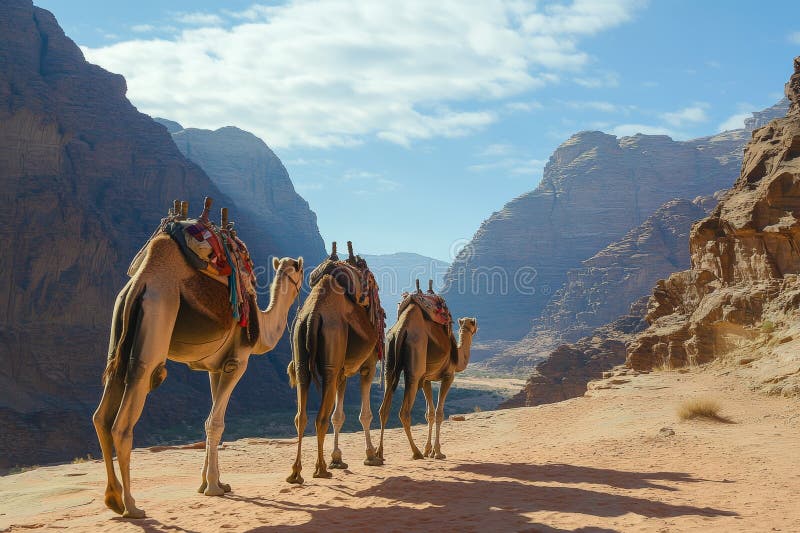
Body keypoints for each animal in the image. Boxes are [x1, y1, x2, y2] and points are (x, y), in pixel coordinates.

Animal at [93, 228, 303, 519]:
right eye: (298, 270)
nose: (305, 284)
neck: (262, 326)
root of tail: (139, 284)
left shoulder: (215, 369)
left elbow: (210, 423)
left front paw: (212, 483)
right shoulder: (237, 362)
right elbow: (215, 423)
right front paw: (213, 487)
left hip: (118, 338)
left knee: (101, 416)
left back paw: (113, 499)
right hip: (153, 333)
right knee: (123, 423)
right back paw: (132, 506)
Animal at [285, 242, 384, 484]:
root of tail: (312, 315)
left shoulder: (343, 370)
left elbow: (338, 416)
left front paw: (337, 458)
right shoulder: (367, 365)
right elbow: (364, 414)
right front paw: (371, 455)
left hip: (302, 357)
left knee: (301, 416)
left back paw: (296, 473)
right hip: (332, 346)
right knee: (320, 417)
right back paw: (320, 469)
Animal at [377, 283, 477, 461]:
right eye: (472, 324)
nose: (475, 326)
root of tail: (402, 328)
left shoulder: (426, 379)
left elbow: (429, 413)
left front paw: (428, 450)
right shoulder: (448, 375)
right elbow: (438, 413)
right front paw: (437, 452)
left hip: (389, 356)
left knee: (384, 408)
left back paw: (377, 455)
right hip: (415, 359)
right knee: (404, 411)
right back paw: (415, 452)